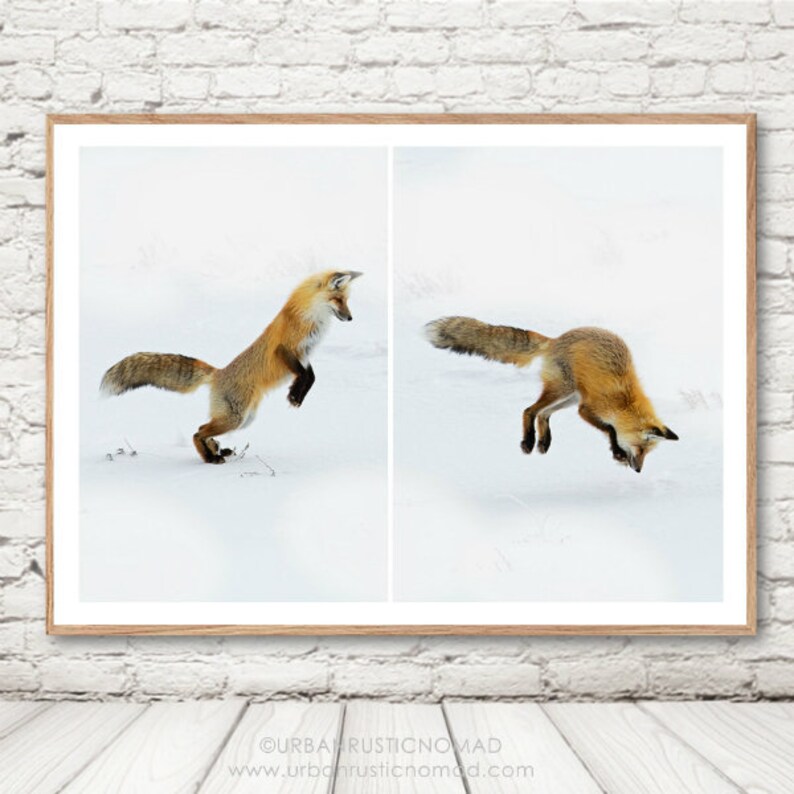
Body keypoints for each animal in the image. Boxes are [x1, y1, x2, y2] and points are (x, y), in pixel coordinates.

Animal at [101, 270, 362, 464]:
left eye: (347, 301)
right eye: (338, 300)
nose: (350, 318)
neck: (310, 319)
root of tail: (218, 373)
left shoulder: (305, 355)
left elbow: (311, 377)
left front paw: (296, 395)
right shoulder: (285, 349)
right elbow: (304, 375)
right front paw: (295, 395)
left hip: (244, 418)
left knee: (202, 427)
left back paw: (216, 451)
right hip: (236, 418)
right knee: (198, 431)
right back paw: (210, 458)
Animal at [425, 317, 678, 473]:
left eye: (648, 453)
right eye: (641, 450)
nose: (639, 470)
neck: (624, 401)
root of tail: (556, 339)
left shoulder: (583, 407)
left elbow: (611, 430)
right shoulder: (585, 409)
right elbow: (610, 430)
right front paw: (617, 452)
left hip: (568, 398)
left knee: (543, 414)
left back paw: (544, 442)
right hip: (563, 391)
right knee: (529, 410)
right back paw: (528, 442)